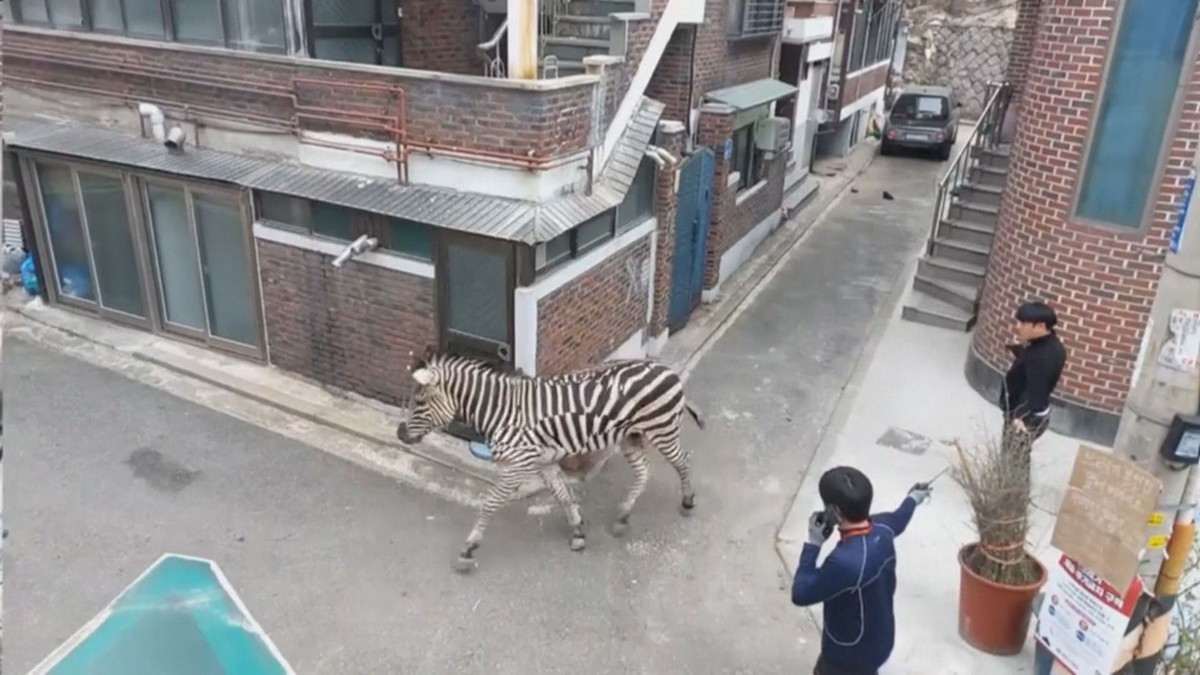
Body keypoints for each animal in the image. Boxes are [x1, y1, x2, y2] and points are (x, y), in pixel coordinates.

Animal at [395, 349, 706, 571]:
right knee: (644, 471)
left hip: (662, 430)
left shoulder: (517, 466)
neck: (502, 411)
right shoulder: (543, 462)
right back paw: (622, 516)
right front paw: (578, 532)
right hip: (632, 436)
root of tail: (665, 368)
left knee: (683, 460)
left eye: (419, 401)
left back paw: (688, 501)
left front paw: (469, 548)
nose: (399, 433)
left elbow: (489, 504)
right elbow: (563, 496)